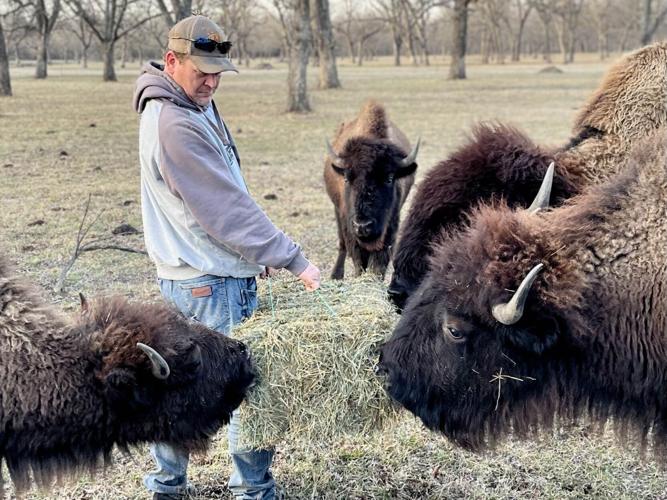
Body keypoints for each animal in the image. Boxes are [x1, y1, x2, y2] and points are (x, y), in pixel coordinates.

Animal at [324, 100, 419, 279]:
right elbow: (357, 258)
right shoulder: (347, 222)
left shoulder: (390, 224)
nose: (362, 226)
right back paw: (336, 275)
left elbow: (379, 260)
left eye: (389, 179)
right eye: (346, 178)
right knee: (342, 245)